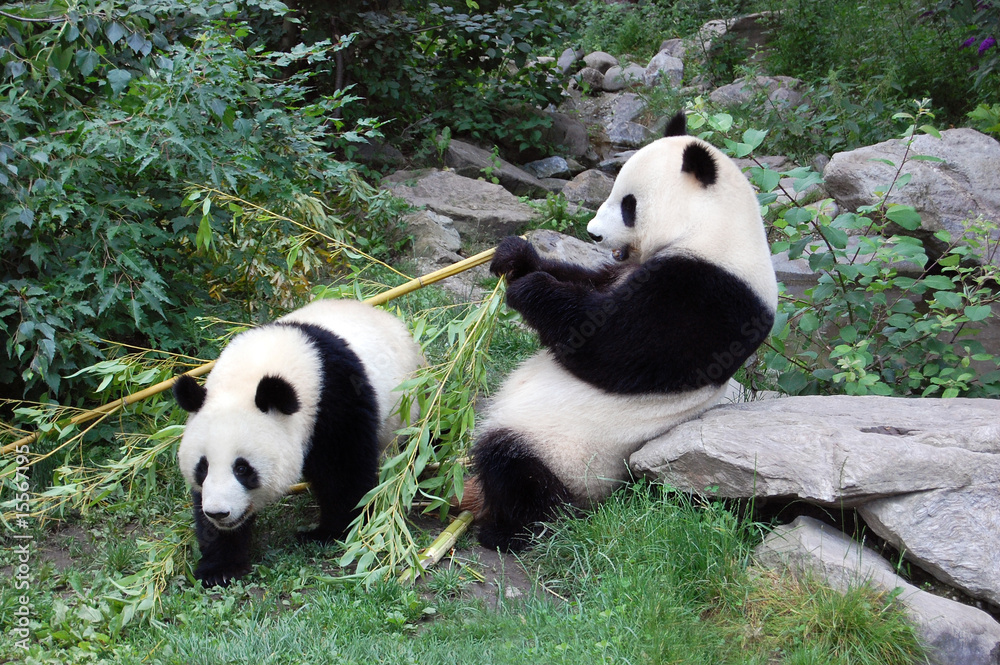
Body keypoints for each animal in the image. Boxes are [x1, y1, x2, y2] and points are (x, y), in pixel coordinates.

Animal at [173, 298, 423, 586]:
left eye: (242, 468)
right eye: (202, 467)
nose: (218, 513)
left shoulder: (336, 398)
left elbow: (343, 469)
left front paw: (329, 532)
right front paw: (220, 566)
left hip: (409, 406)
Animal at [467, 111, 778, 551]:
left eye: (629, 205)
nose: (593, 233)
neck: (714, 229)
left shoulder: (711, 294)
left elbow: (609, 344)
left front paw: (528, 288)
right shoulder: (624, 270)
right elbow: (587, 282)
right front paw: (515, 256)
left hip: (570, 452)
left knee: (515, 468)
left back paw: (507, 529)